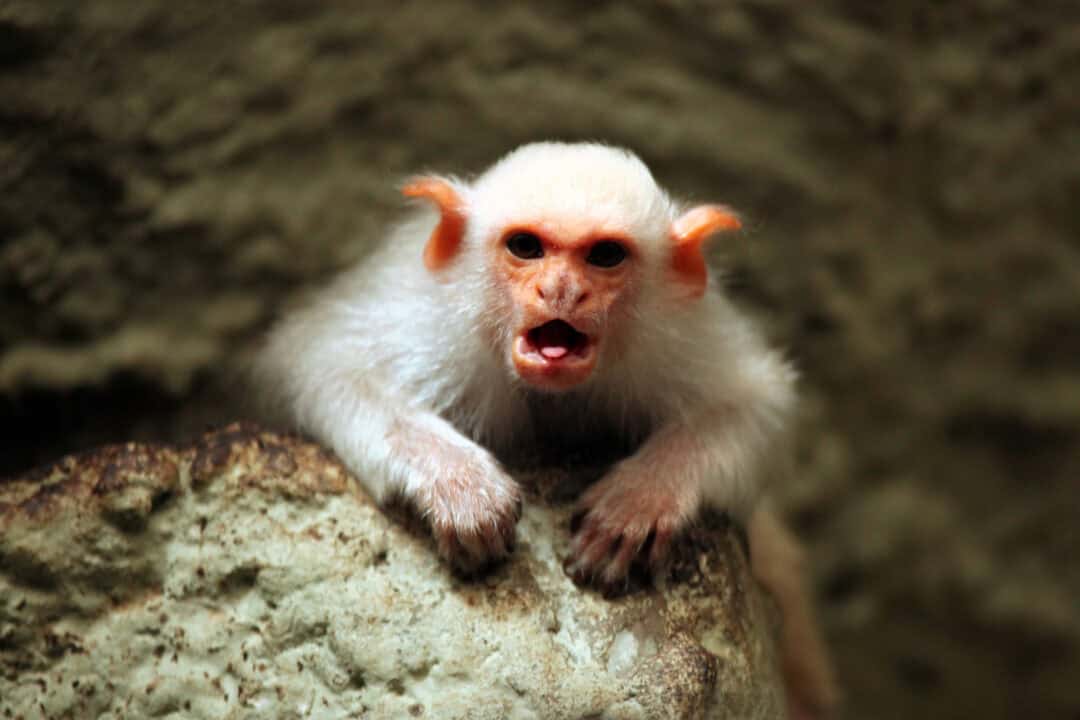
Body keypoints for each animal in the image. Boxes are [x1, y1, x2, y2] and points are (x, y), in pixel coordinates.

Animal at [255, 142, 838, 718]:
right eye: (525, 247)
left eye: (604, 255)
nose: (560, 290)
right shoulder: (425, 325)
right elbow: (323, 364)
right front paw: (460, 484)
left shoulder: (677, 337)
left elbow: (754, 404)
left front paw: (640, 500)